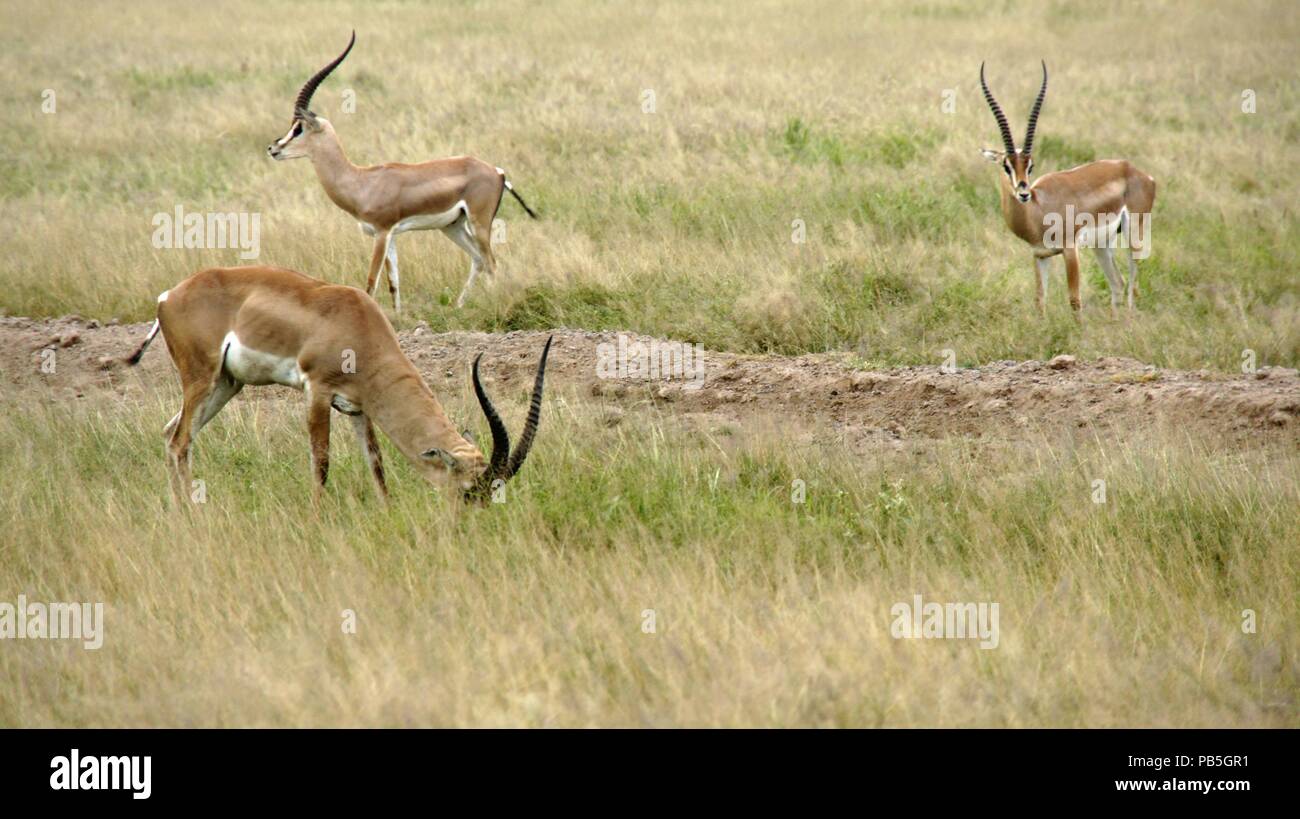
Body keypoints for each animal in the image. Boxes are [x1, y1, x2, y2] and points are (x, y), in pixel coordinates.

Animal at [124, 265, 553, 503]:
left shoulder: (360, 407)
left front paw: (387, 513)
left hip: (227, 385)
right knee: (179, 441)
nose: (465, 523)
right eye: (467, 491)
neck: (357, 325)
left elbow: (376, 464)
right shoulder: (317, 392)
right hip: (201, 378)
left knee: (171, 435)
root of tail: (169, 295)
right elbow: (322, 462)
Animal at [267, 32, 539, 311]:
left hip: (479, 223)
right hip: (452, 226)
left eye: (298, 128)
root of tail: (497, 171)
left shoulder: (381, 232)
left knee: (492, 262)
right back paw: (459, 306)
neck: (361, 181)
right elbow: (393, 282)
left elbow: (371, 282)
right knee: (478, 259)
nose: (273, 148)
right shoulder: (392, 235)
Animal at [979, 62, 1156, 313]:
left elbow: (1074, 300)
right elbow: (1040, 300)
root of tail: (1136, 171)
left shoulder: (1070, 250)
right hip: (1102, 244)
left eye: (1031, 165)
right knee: (1118, 283)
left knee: (1133, 287)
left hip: (1134, 236)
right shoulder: (1040, 255)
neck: (1038, 209)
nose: (1023, 193)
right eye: (1006, 165)